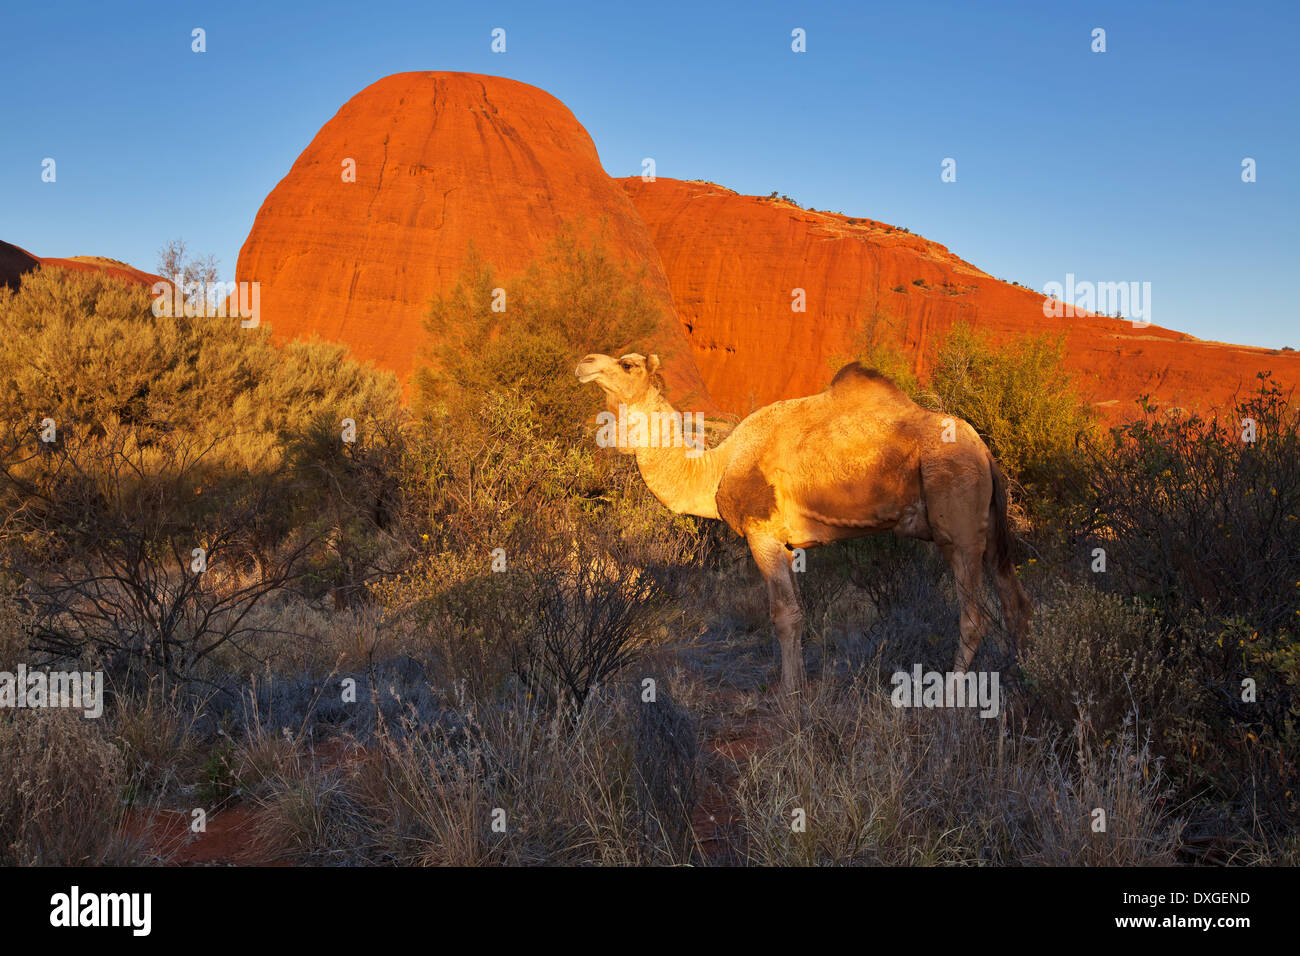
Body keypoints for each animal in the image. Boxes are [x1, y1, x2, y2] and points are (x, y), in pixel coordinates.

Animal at [576, 351, 1032, 696]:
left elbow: (783, 614)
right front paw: (798, 687)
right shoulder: (787, 543)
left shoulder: (760, 532)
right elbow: (798, 611)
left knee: (974, 614)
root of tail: (984, 451)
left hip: (957, 517)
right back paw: (1020, 674)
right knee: (1014, 599)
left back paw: (951, 696)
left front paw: (788, 695)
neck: (716, 469)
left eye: (627, 364)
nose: (584, 362)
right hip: (988, 524)